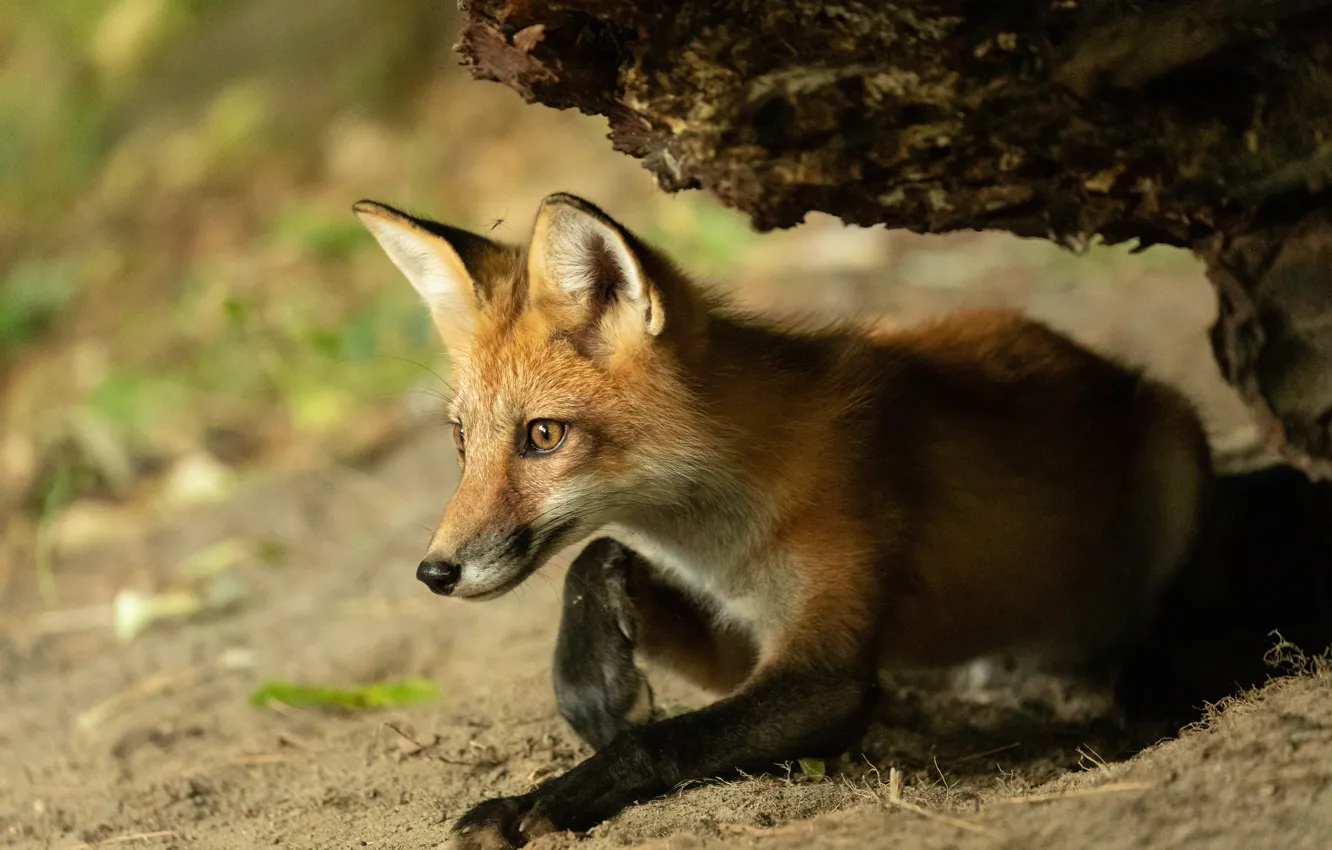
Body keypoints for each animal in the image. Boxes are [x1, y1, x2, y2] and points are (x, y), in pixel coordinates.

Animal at [352, 192, 1215, 850]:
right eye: (461, 441)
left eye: (542, 436)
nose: (435, 571)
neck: (724, 538)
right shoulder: (739, 641)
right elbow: (594, 559)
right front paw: (593, 685)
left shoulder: (826, 672)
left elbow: (660, 740)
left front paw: (540, 800)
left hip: (1176, 452)